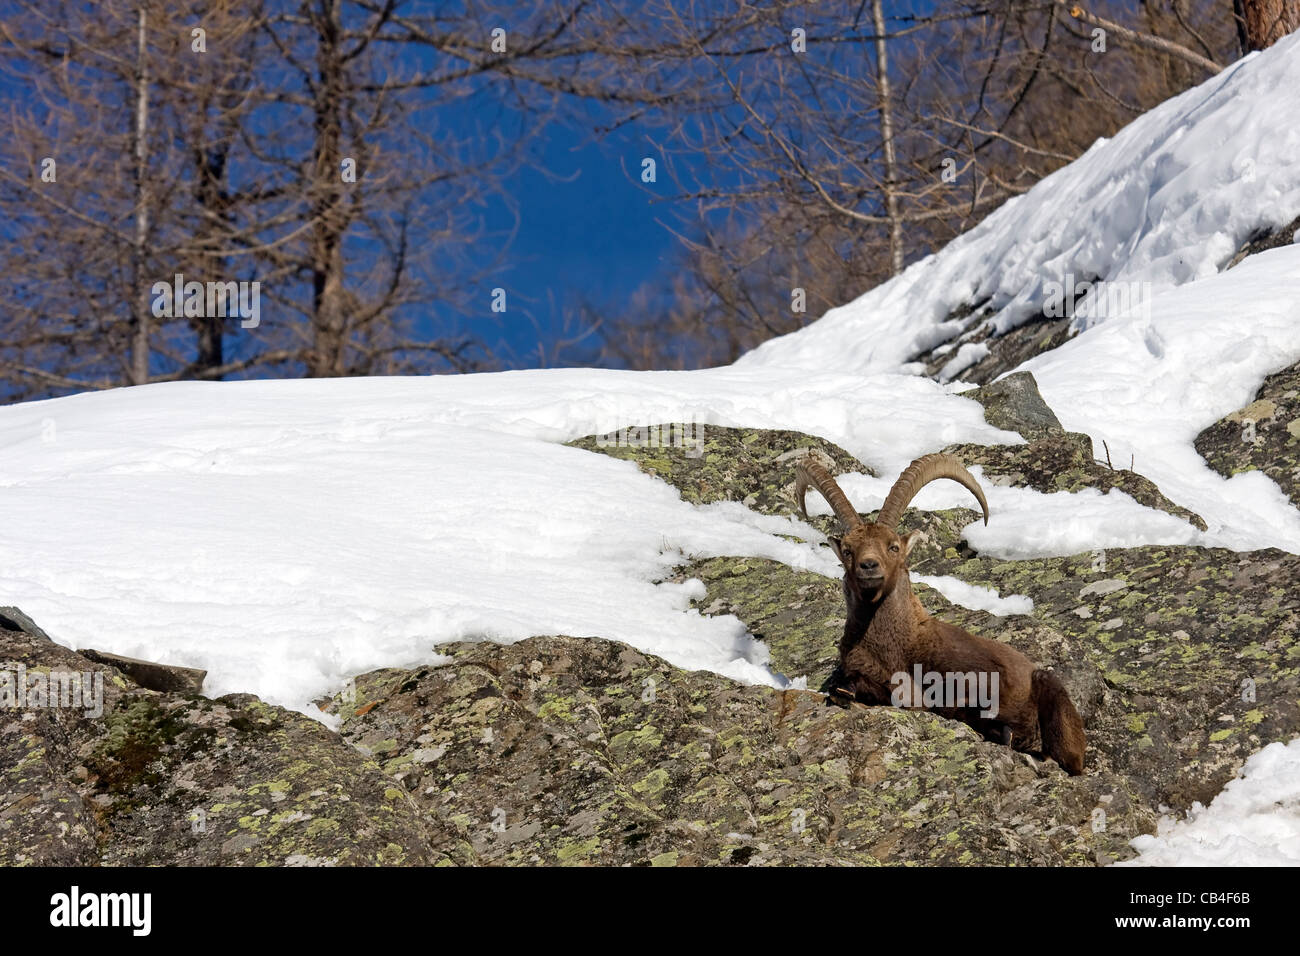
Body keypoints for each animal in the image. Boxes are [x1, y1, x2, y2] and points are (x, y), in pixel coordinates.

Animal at [795, 453, 1086, 775]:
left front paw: (1000, 730)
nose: (868, 566)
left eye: (893, 546)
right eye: (847, 550)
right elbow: (846, 690)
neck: (895, 645)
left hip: (1051, 694)